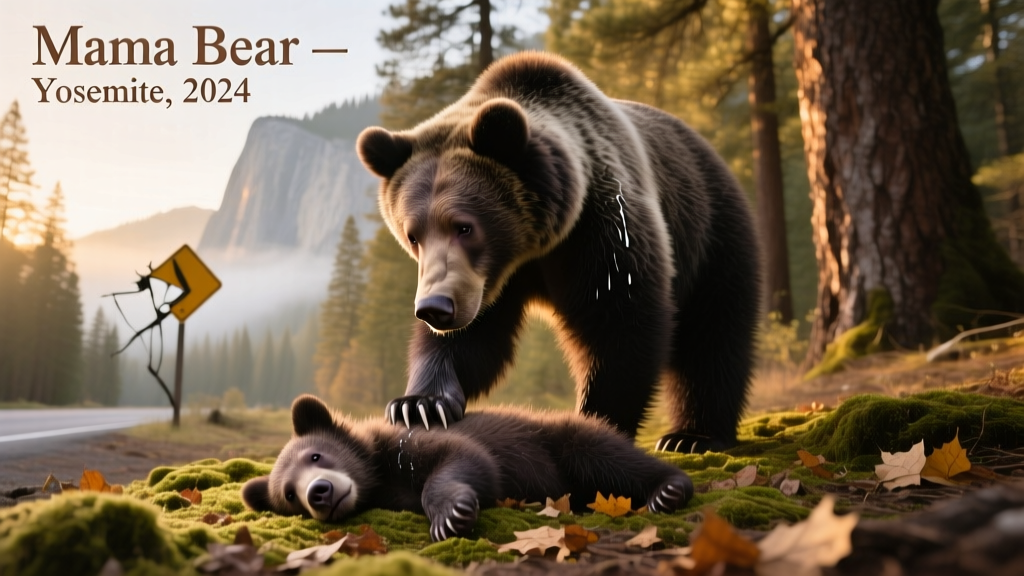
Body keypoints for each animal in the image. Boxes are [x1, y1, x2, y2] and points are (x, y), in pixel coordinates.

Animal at [241, 395, 693, 541]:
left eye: (316, 456)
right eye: (288, 494)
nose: (318, 492)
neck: (377, 478)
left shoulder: (408, 444)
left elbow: (464, 458)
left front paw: (450, 516)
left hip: (561, 440)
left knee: (609, 458)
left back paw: (669, 489)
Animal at [355, 51, 761, 453]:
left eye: (464, 227)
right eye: (413, 235)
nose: (435, 308)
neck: (532, 245)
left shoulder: (601, 231)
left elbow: (621, 321)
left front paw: (598, 419)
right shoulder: (488, 282)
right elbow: (472, 340)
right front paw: (420, 405)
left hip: (710, 232)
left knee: (713, 332)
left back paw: (692, 436)